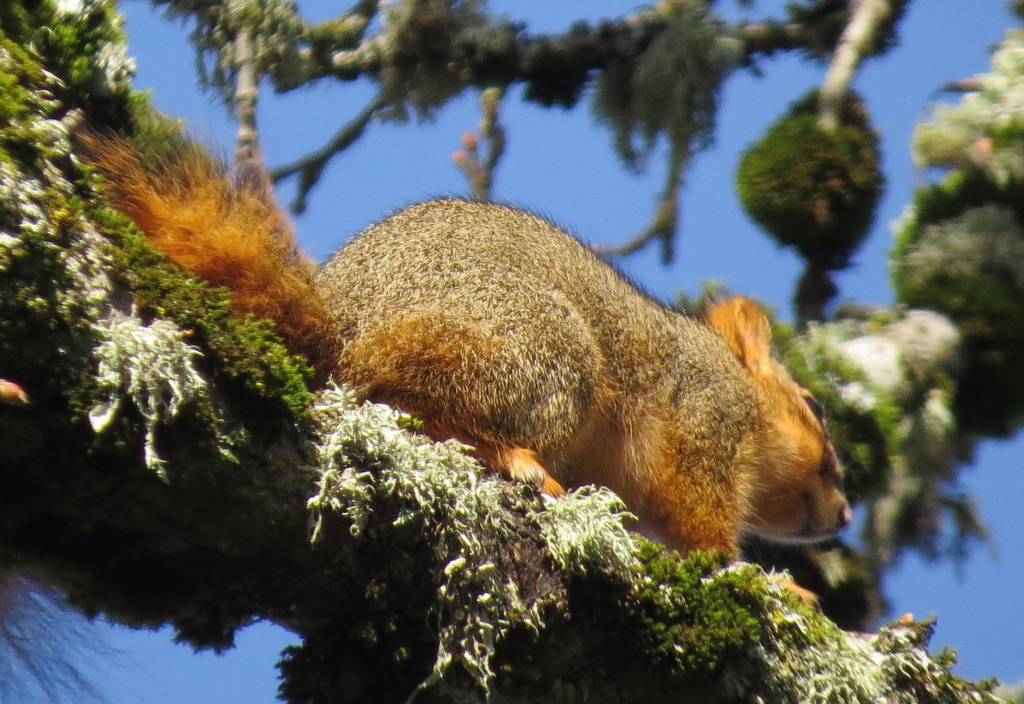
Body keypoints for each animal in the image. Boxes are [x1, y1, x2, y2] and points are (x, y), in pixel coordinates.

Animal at [80, 133, 851, 557]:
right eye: (813, 408)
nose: (844, 515)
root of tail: (338, 331)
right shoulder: (706, 416)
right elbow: (702, 521)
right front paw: (782, 588)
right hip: (540, 354)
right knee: (406, 397)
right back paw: (510, 456)